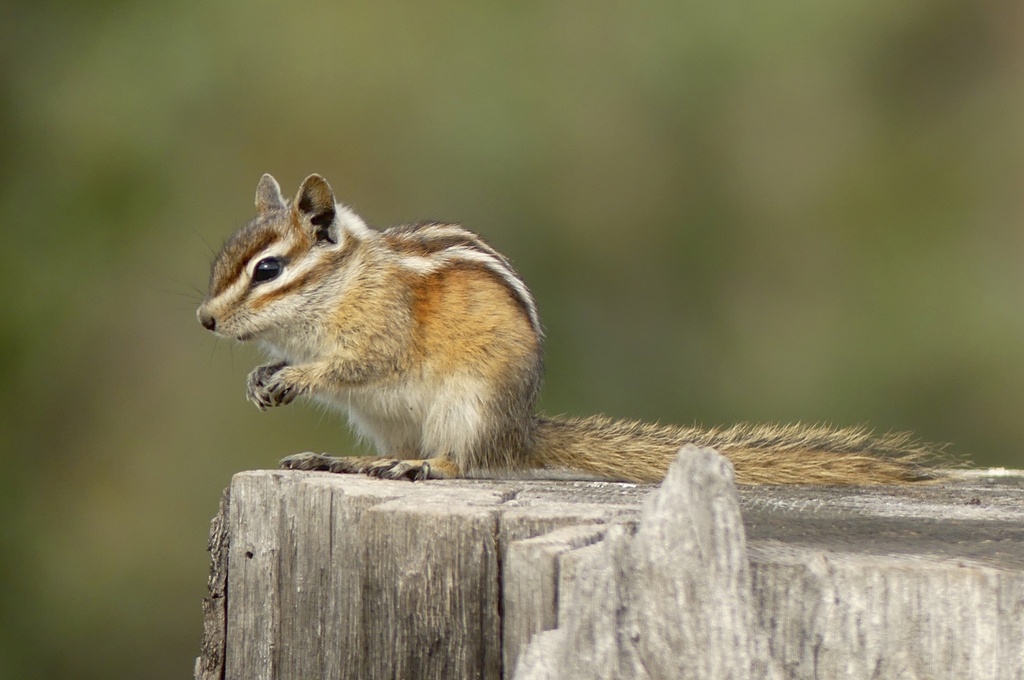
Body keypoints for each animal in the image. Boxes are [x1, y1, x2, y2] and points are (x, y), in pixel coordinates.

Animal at [197, 173, 944, 485]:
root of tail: (520, 432)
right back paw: (350, 461)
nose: (205, 319)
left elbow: (355, 364)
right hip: (390, 419)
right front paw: (261, 376)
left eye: (268, 269)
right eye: (224, 261)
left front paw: (295, 375)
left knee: (463, 461)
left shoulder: (381, 331)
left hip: (467, 406)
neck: (346, 280)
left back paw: (424, 465)